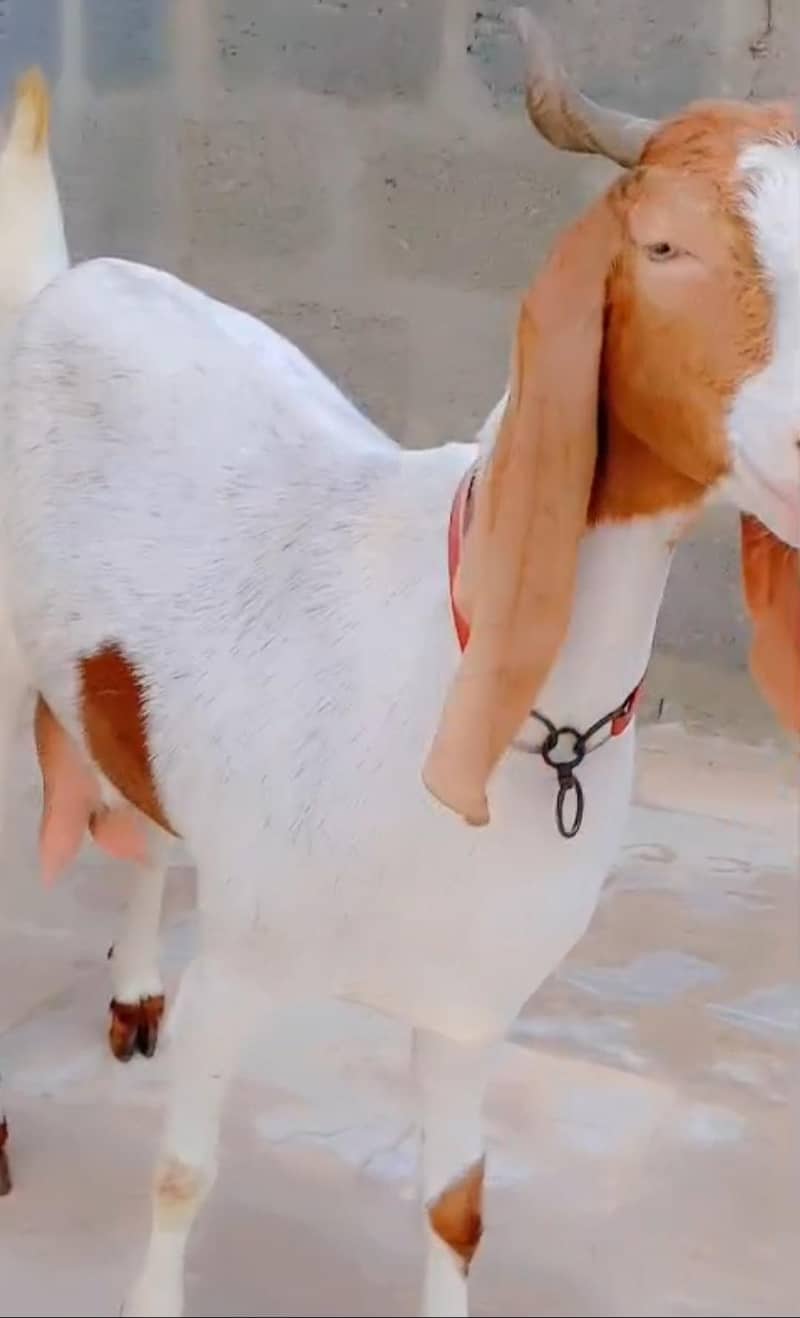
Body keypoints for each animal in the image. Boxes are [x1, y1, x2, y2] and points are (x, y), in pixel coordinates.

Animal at [1, 9, 798, 1313]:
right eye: (664, 243)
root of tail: (63, 286)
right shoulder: (244, 962)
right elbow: (181, 1174)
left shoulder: (472, 1000)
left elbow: (454, 1206)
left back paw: (130, 989)